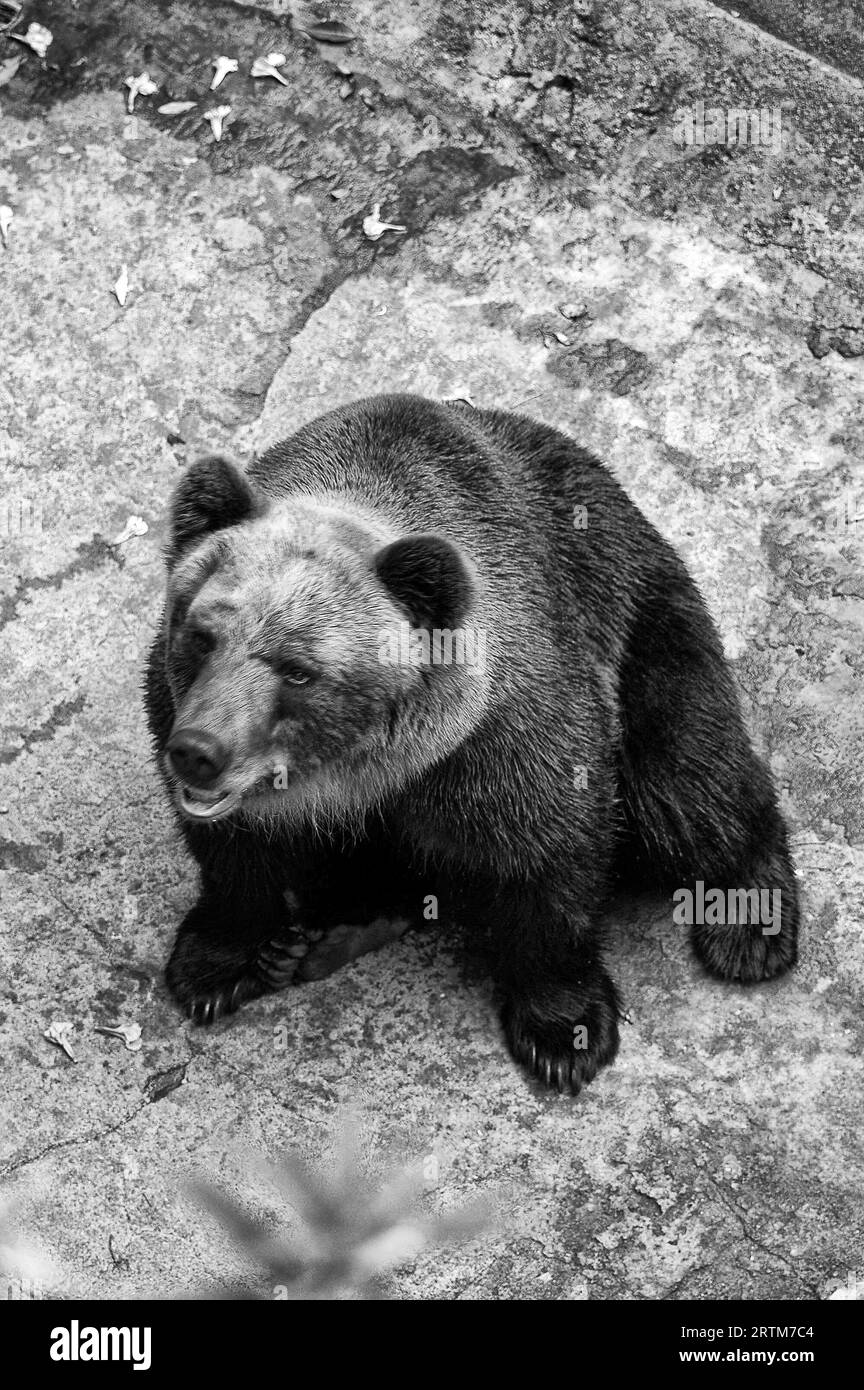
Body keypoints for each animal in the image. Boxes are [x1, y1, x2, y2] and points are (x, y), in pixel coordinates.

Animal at [144, 393, 799, 1094]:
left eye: (298, 670)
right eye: (202, 634)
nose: (199, 750)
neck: (365, 768)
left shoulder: (501, 733)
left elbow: (546, 854)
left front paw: (564, 1034)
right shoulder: (177, 712)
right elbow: (234, 856)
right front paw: (213, 965)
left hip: (648, 630)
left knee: (685, 780)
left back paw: (749, 928)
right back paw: (320, 940)